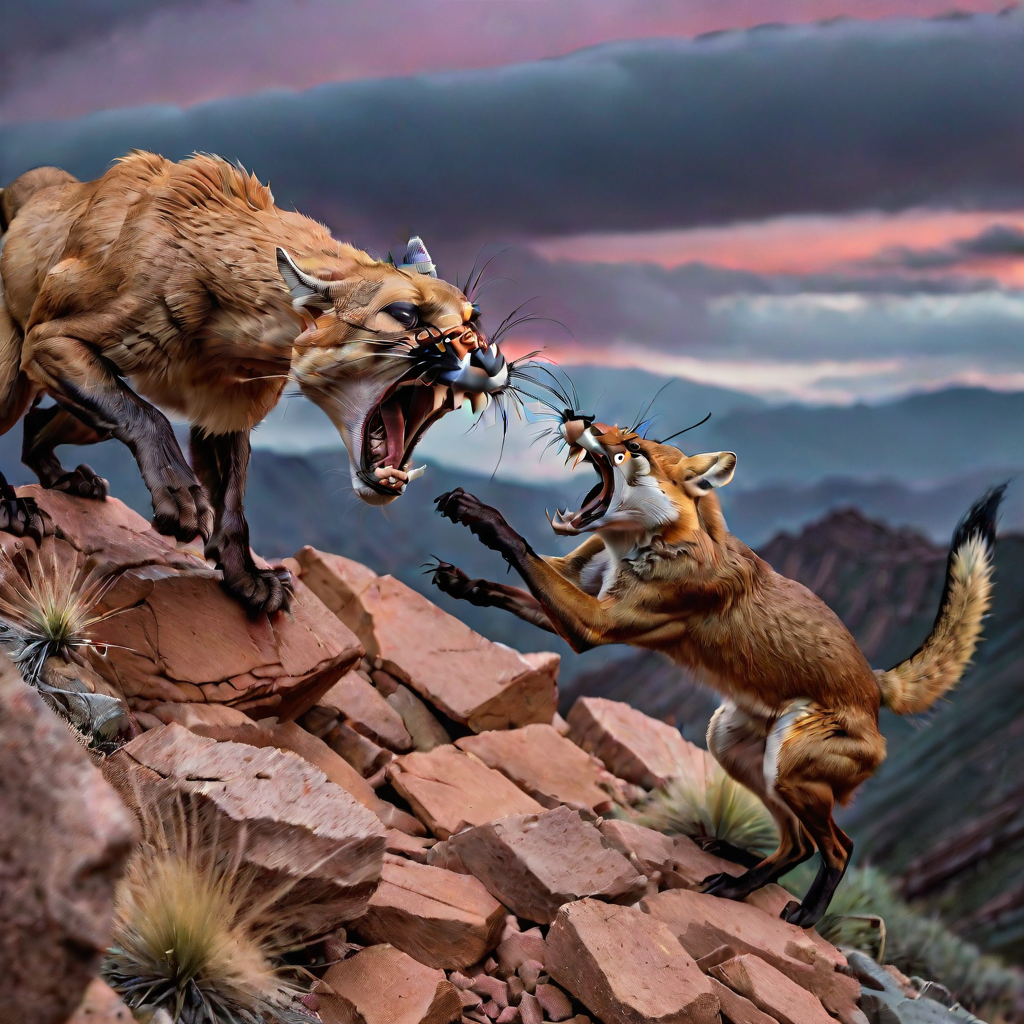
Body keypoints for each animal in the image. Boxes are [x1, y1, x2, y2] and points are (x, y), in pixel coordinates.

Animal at [0, 151, 509, 613]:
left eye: (474, 317)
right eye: (405, 314)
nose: (487, 353)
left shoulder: (225, 410)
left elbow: (233, 499)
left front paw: (248, 578)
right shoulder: (51, 339)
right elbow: (149, 418)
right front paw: (183, 501)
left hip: (82, 413)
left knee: (41, 427)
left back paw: (67, 479)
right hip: (16, 370)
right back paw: (15, 509)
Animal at [428, 412, 1003, 927]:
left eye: (632, 446)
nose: (576, 415)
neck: (639, 547)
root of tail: (875, 685)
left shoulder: (595, 625)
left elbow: (520, 548)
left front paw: (481, 515)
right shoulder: (581, 591)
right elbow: (511, 584)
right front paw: (463, 581)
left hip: (787, 769)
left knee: (839, 847)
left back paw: (802, 912)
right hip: (734, 748)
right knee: (797, 845)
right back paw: (736, 872)